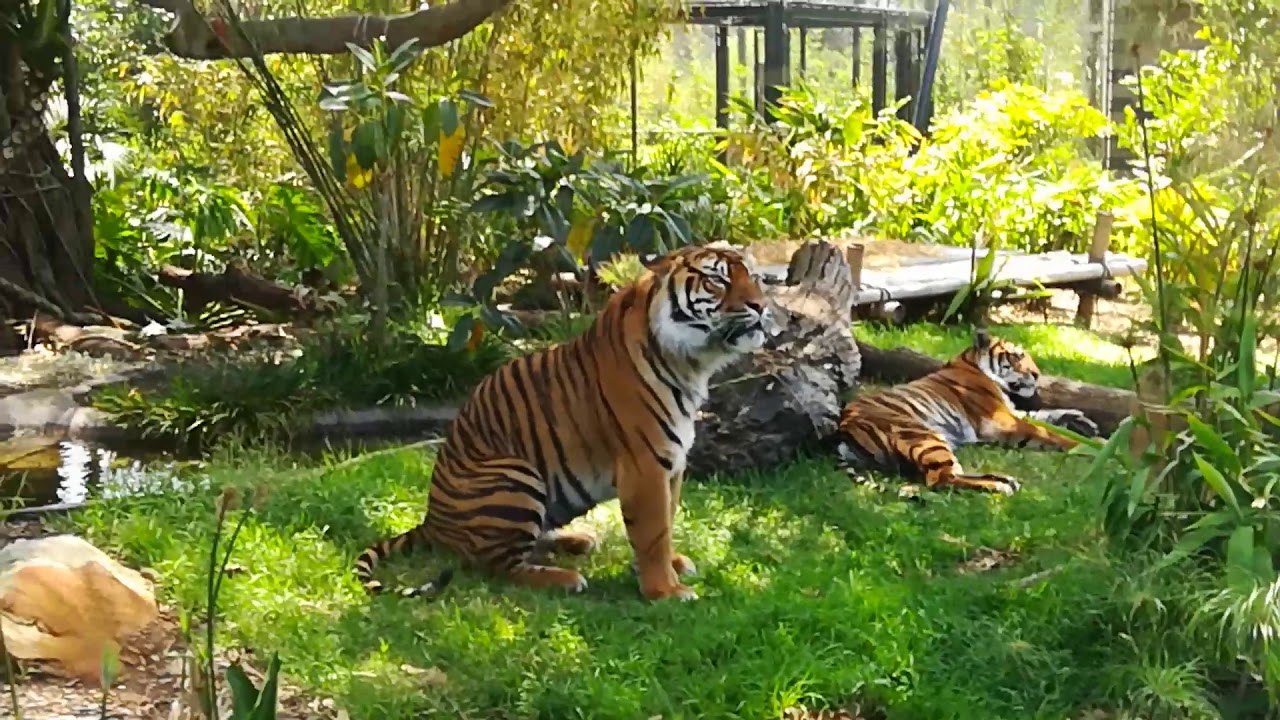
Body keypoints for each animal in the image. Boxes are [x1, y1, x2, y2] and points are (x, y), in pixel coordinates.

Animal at [352, 244, 771, 602]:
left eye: (755, 277)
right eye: (717, 280)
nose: (761, 306)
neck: (693, 363)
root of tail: (432, 521)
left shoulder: (673, 464)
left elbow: (667, 521)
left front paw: (673, 566)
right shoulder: (646, 464)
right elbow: (654, 532)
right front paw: (665, 591)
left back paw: (577, 541)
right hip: (515, 474)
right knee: (497, 565)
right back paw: (566, 578)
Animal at [832, 329, 1100, 496]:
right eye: (1016, 356)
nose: (1036, 375)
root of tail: (842, 431)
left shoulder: (1011, 411)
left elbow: (1046, 414)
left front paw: (1085, 424)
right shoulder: (1001, 420)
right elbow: (1046, 432)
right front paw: (1090, 445)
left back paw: (1003, 479)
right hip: (923, 434)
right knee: (941, 479)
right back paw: (1000, 486)